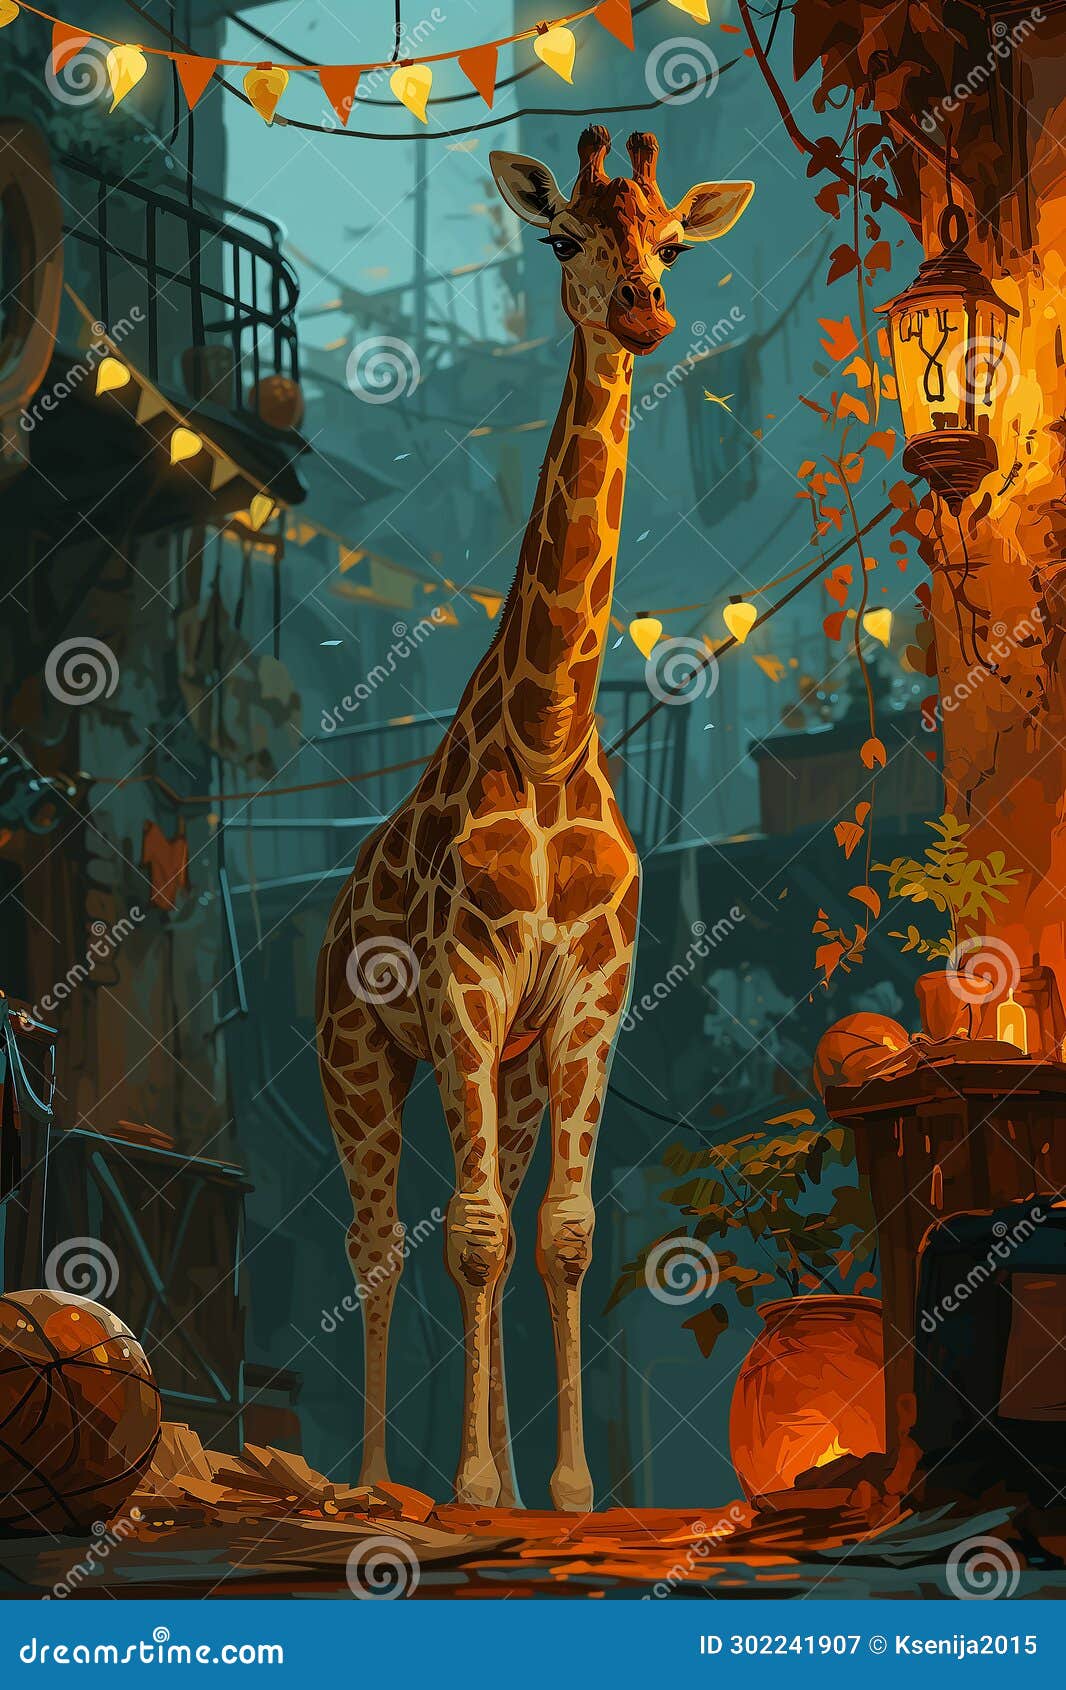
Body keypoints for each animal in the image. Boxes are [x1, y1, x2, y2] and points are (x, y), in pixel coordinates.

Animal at [316, 127, 753, 1512]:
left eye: (674, 243)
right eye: (562, 237)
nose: (643, 310)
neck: (551, 737)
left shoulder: (591, 995)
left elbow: (556, 1233)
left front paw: (559, 1493)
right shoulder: (460, 985)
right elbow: (466, 1236)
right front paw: (465, 1491)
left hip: (501, 1067)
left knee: (494, 1218)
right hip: (356, 1049)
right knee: (377, 1239)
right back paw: (372, 1481)